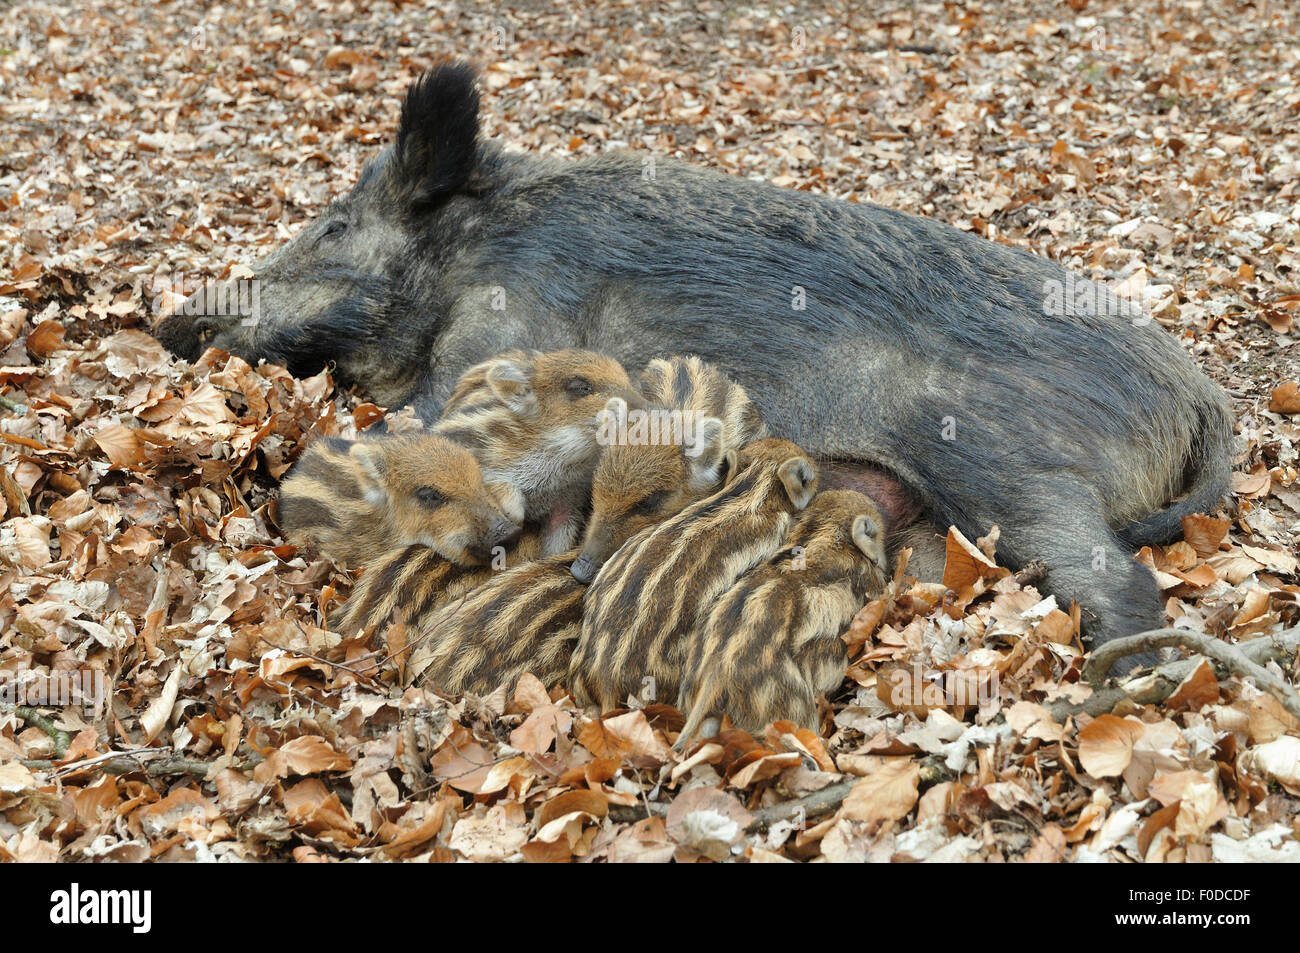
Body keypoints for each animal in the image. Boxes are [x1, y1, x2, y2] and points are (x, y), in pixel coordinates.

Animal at [156, 62, 1234, 672]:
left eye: (335, 227)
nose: (174, 319)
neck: (473, 252)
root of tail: (1197, 391)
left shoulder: (493, 342)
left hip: (1014, 469)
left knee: (1121, 586)